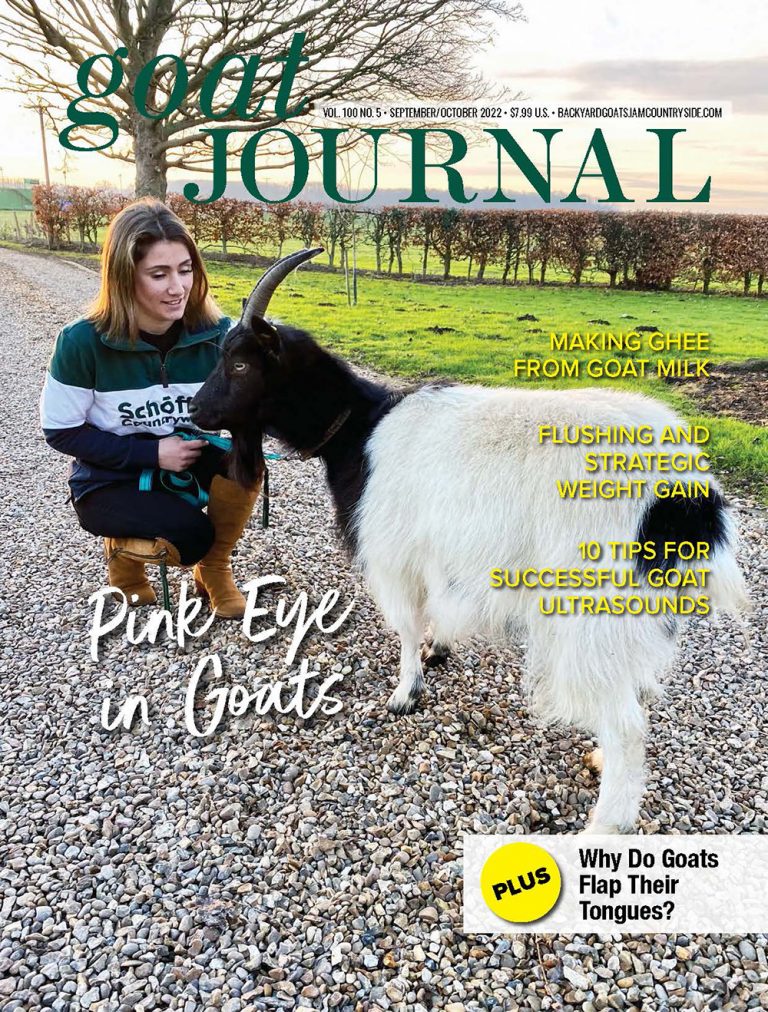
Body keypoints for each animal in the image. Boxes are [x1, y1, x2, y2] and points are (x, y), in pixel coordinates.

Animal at [190, 249, 749, 833]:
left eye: (240, 364)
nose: (194, 411)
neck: (361, 430)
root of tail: (689, 497)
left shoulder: (394, 556)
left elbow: (406, 624)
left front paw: (404, 692)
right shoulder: (437, 555)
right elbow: (437, 611)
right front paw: (439, 650)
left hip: (593, 609)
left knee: (629, 724)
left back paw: (604, 823)